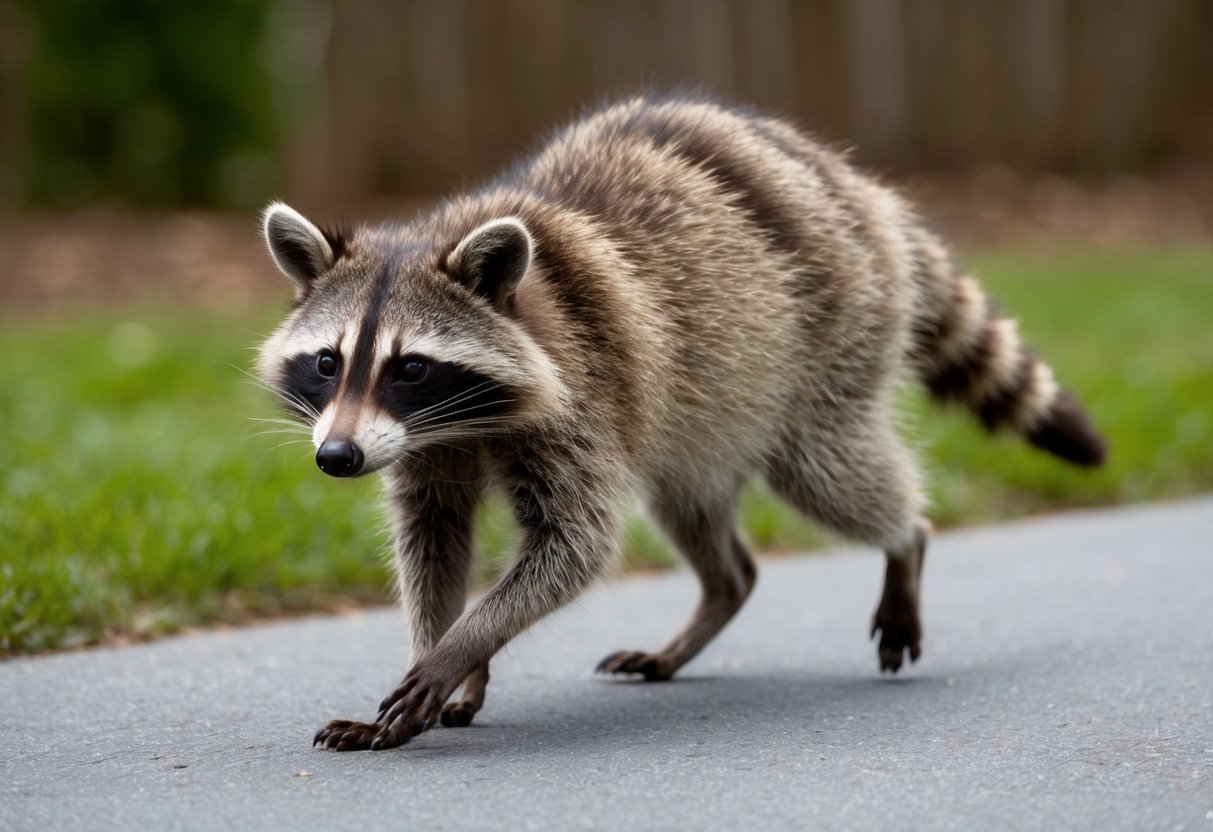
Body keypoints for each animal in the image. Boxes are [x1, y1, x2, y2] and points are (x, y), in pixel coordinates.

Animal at [256, 94, 1106, 752]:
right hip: (700, 416)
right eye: (328, 362)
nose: (336, 457)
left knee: (830, 474)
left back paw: (906, 541)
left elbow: (575, 544)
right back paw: (717, 597)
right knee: (693, 509)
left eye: (410, 367)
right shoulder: (424, 450)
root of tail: (858, 188)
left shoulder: (583, 399)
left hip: (833, 334)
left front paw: (458, 649)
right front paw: (444, 650)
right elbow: (431, 539)